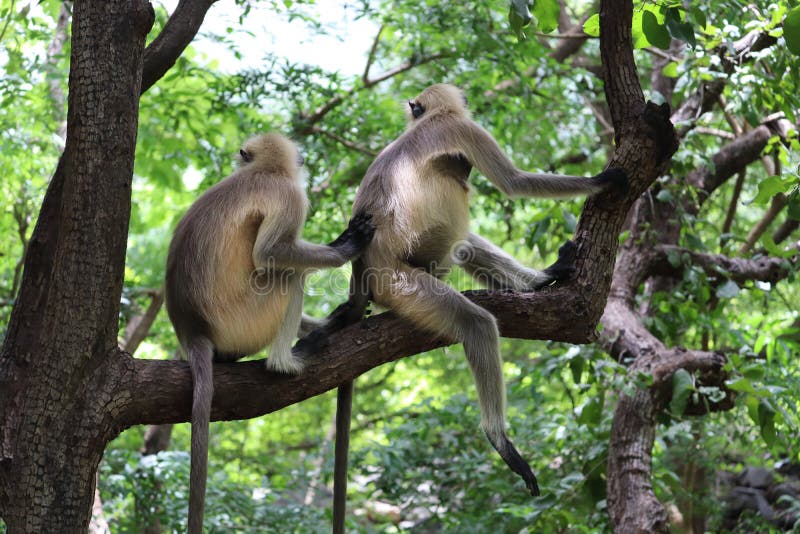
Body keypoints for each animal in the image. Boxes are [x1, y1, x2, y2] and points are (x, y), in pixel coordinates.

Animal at [164, 132, 375, 534]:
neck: (263, 171)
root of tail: (191, 330)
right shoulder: (290, 196)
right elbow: (272, 253)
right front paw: (346, 245)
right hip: (244, 320)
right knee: (288, 274)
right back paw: (288, 360)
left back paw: (331, 324)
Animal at [293, 83, 627, 532]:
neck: (432, 121)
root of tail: (362, 271)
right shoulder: (462, 128)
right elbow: (514, 182)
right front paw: (602, 179)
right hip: (401, 282)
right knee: (476, 321)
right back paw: (498, 438)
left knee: (464, 244)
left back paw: (540, 280)